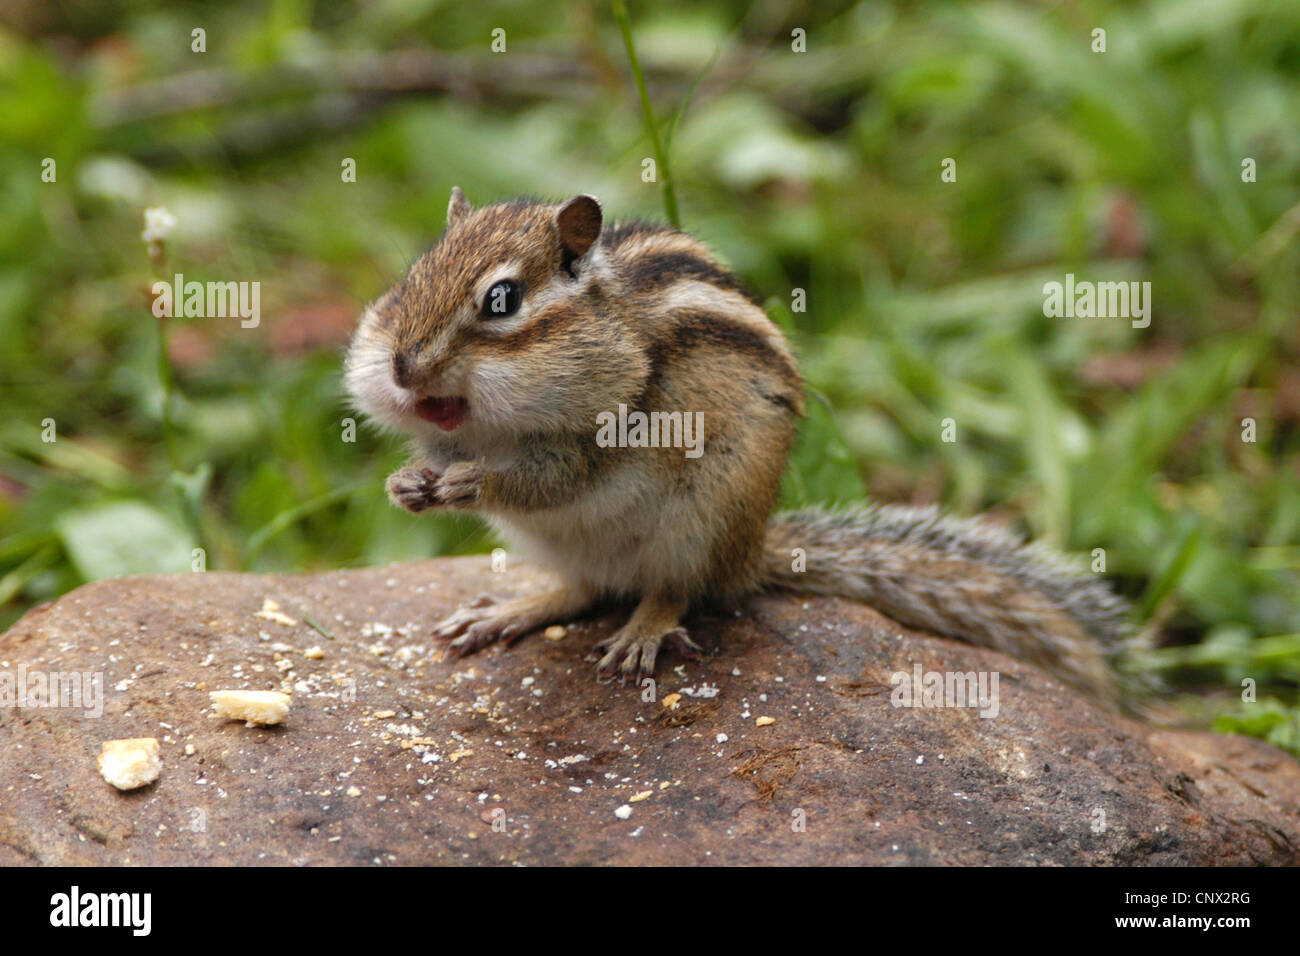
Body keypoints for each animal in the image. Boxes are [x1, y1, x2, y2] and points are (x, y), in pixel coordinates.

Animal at [345, 188, 1134, 703]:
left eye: (501, 300)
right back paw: (510, 609)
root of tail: (753, 551)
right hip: (564, 545)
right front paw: (406, 485)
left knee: (674, 588)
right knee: (582, 588)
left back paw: (643, 630)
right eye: (411, 279)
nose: (403, 370)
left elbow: (553, 479)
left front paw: (471, 484)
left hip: (704, 518)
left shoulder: (615, 426)